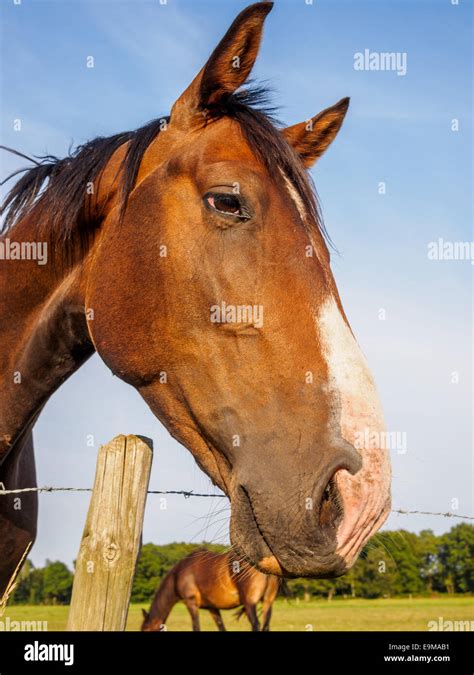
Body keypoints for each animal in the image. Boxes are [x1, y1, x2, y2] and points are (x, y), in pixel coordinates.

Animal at [141, 550, 280, 632]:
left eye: (146, 630)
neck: (180, 573)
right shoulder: (212, 607)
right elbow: (221, 627)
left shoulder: (191, 603)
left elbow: (196, 627)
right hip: (268, 602)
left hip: (250, 604)